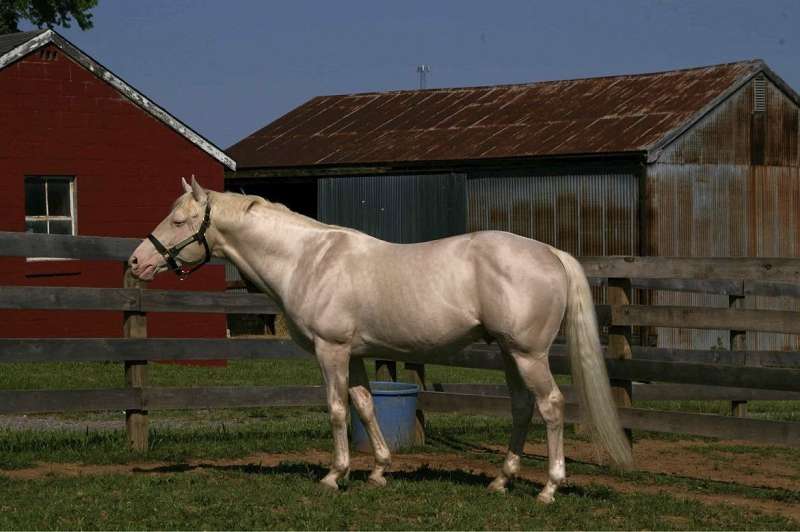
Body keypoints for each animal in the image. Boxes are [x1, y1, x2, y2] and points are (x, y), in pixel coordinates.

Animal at [128, 176, 633, 503]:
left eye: (179, 220)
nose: (136, 262)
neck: (308, 259)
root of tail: (550, 252)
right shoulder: (351, 354)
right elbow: (364, 404)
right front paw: (378, 471)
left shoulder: (330, 350)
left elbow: (336, 409)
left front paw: (335, 475)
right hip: (511, 354)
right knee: (523, 407)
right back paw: (502, 480)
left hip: (529, 355)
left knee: (551, 406)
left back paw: (549, 487)